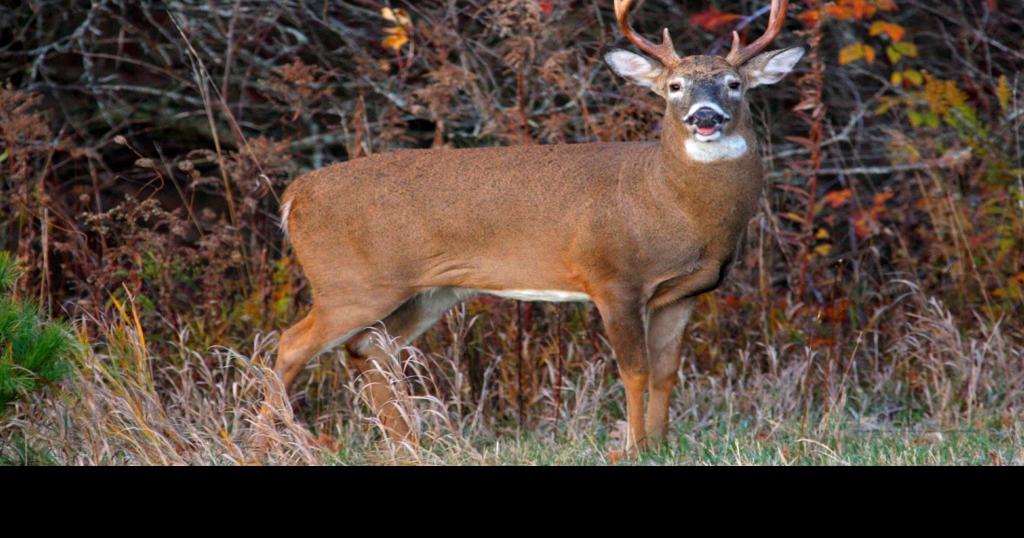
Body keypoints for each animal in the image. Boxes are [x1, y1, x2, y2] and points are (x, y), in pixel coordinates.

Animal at [267, 0, 804, 456]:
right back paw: (270, 446)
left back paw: (410, 447)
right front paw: (632, 449)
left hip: (428, 292)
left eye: (733, 84)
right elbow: (634, 371)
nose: (704, 116)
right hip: (350, 283)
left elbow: (666, 372)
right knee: (290, 346)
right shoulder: (613, 278)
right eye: (674, 87)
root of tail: (294, 196)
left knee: (368, 347)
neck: (669, 201)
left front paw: (660, 446)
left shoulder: (684, 292)